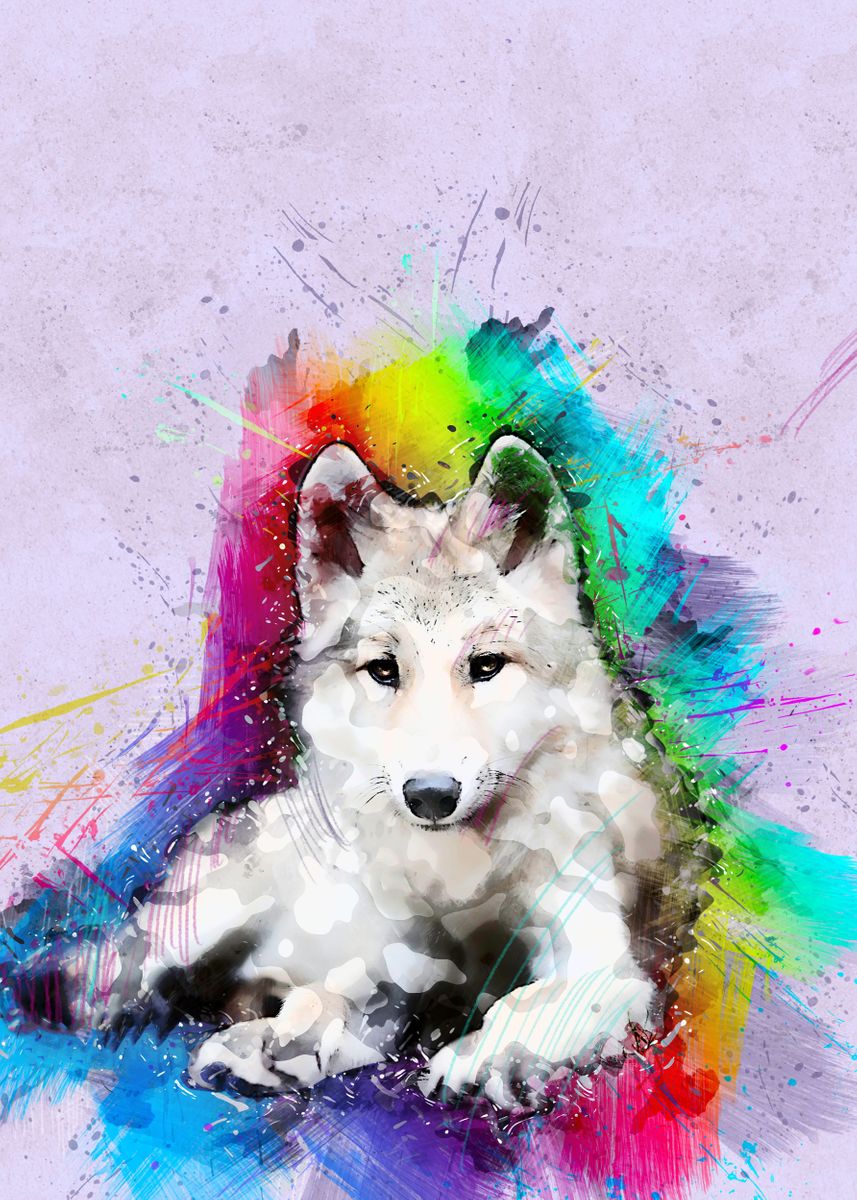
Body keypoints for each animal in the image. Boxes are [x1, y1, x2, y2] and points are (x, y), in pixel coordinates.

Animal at [26, 436, 686, 1112]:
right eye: (384, 670)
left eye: (486, 666)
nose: (430, 795)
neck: (457, 875)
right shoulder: (386, 967)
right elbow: (345, 1007)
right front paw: (281, 1046)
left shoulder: (602, 959)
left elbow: (531, 1000)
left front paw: (482, 1059)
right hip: (216, 908)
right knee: (130, 960)